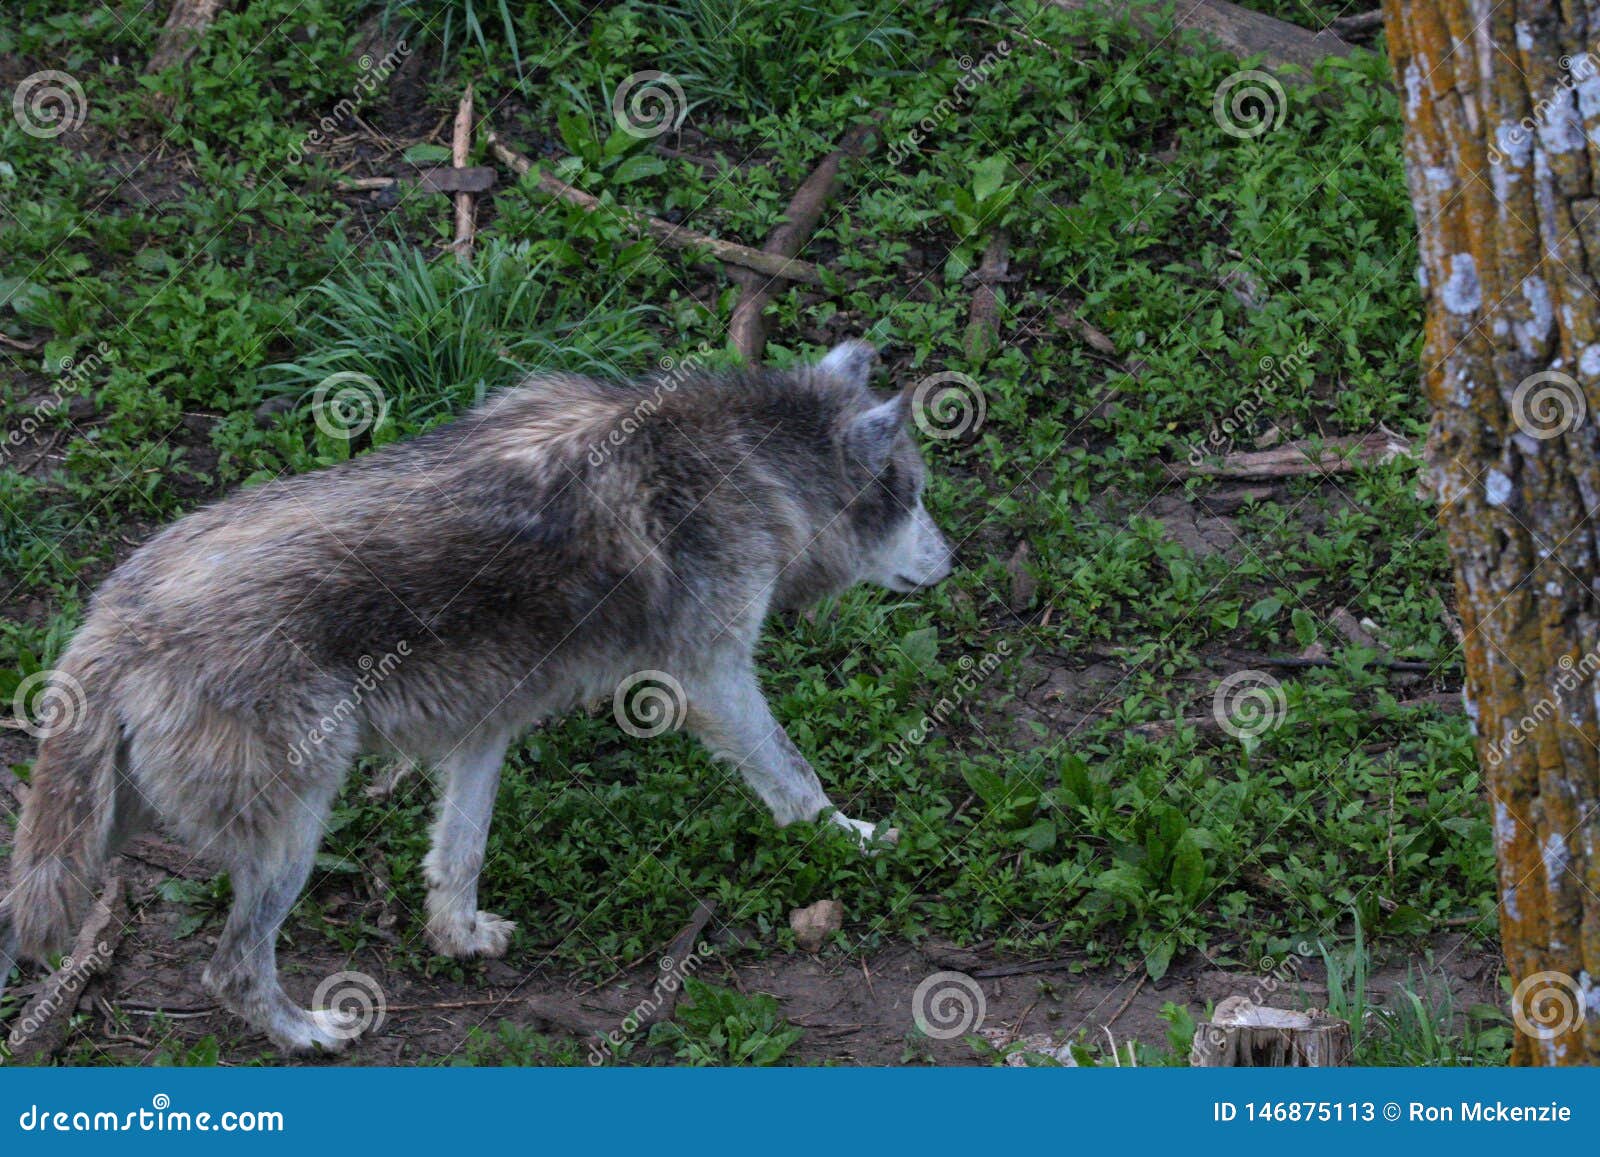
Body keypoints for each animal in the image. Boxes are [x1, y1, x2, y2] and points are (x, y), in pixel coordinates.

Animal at [0, 340, 953, 1052]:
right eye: (915, 495)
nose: (950, 563)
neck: (750, 463)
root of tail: (112, 618)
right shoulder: (712, 673)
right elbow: (795, 776)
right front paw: (856, 839)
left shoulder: (485, 726)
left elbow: (458, 850)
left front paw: (457, 936)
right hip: (296, 827)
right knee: (230, 966)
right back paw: (311, 1033)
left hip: (101, 835)